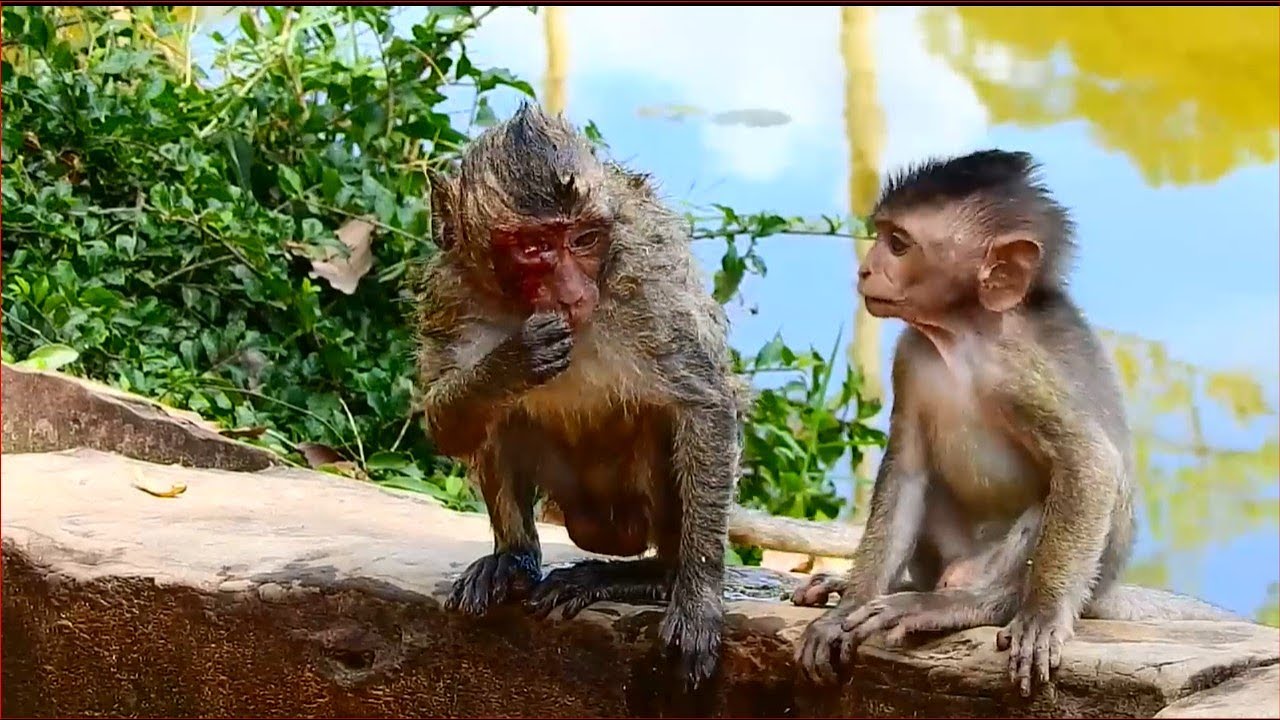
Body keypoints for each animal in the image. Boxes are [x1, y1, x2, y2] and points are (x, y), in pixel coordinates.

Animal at [412, 102, 743, 688]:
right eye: (534, 248)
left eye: (585, 240)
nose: (572, 293)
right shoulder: (450, 292)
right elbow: (445, 424)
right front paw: (511, 361)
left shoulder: (645, 283)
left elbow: (702, 404)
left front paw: (700, 600)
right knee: (501, 421)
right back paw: (514, 559)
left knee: (661, 419)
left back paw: (651, 573)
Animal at [792, 149, 1240, 697]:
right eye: (882, 235)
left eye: (898, 244)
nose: (865, 269)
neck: (962, 336)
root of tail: (1105, 589)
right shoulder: (910, 357)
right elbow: (907, 471)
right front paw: (848, 608)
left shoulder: (1019, 372)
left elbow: (1090, 462)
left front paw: (1042, 615)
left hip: (1053, 569)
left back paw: (965, 605)